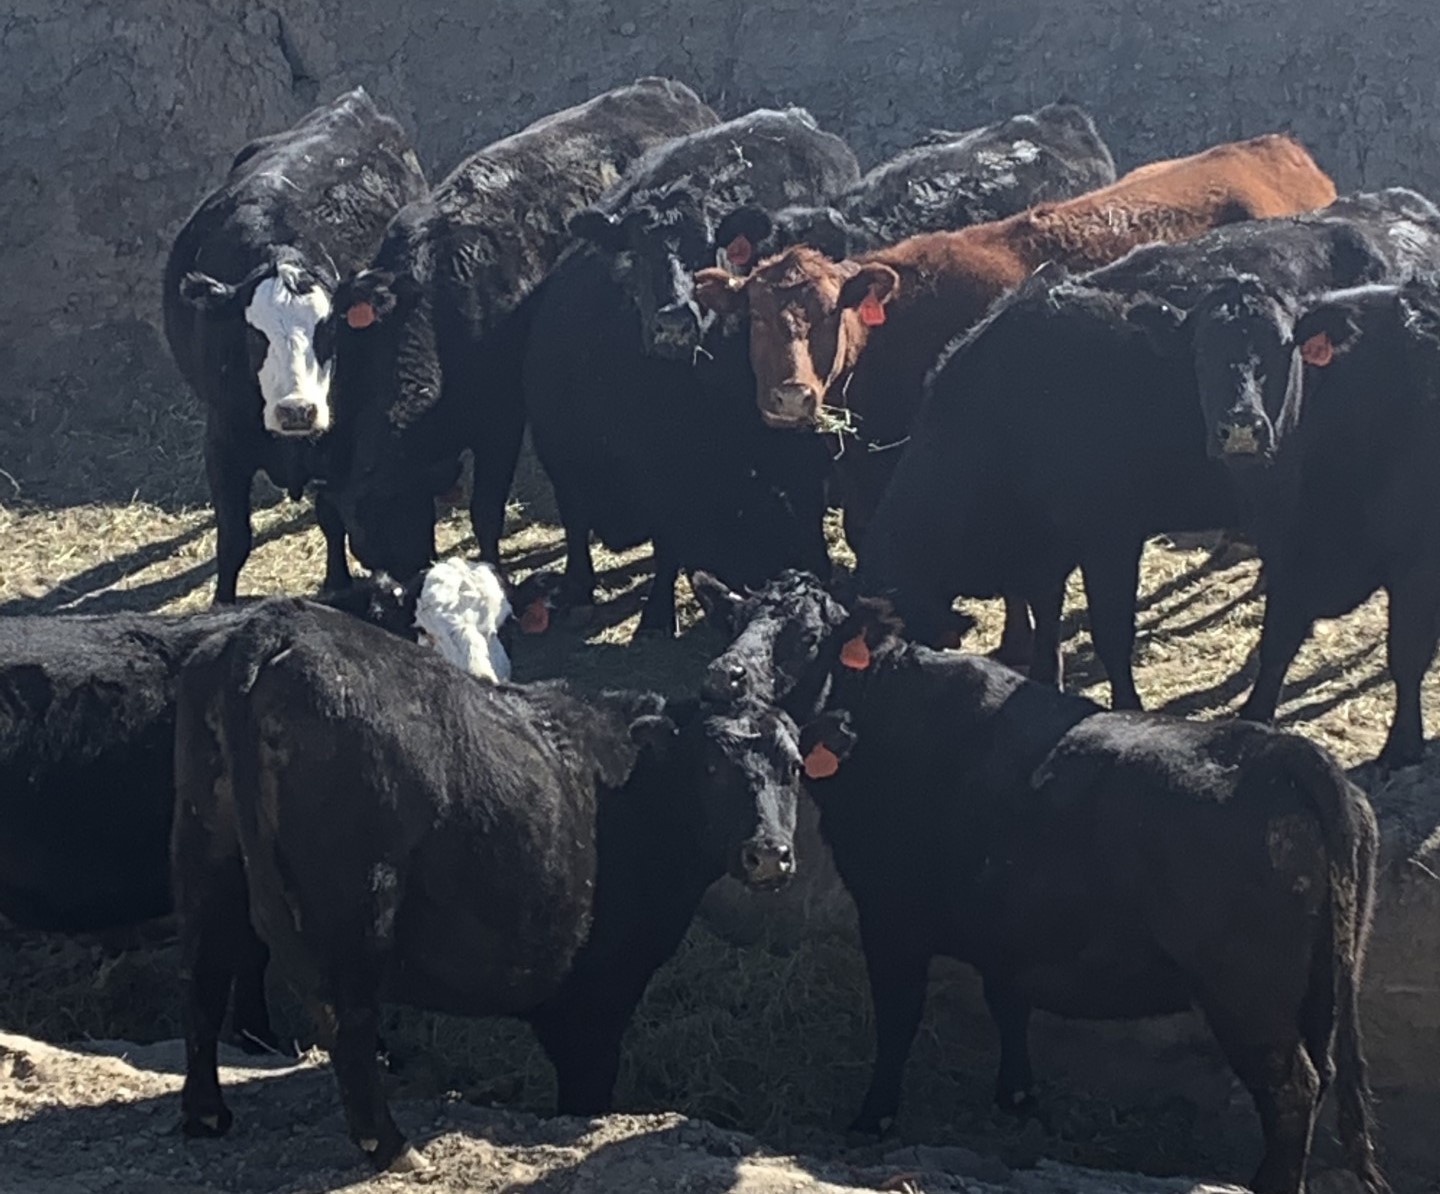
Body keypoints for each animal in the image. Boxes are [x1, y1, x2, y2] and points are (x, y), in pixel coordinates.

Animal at [163, 88, 428, 602]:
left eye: (329, 330)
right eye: (252, 334)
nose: (296, 411)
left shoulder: (340, 436)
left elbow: (331, 517)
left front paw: (336, 583)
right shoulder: (221, 438)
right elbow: (233, 538)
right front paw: (223, 604)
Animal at [172, 600, 819, 1171]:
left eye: (793, 768)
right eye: (710, 769)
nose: (769, 854)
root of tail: (277, 625)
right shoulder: (595, 998)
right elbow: (584, 1095)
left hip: (209, 863)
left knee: (205, 978)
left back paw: (205, 1114)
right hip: (356, 904)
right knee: (345, 1015)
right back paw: (392, 1147)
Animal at [326, 79, 717, 581]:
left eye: (400, 511)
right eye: (363, 538)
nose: (401, 579)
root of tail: (667, 90)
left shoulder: (502, 418)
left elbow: (486, 509)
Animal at [526, 108, 858, 633]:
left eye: (707, 251)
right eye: (635, 253)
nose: (675, 321)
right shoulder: (579, 453)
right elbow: (591, 526)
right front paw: (592, 595)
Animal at [691, 569, 1388, 1194]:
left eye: (808, 637)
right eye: (734, 620)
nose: (724, 675)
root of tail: (1284, 753)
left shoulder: (891, 917)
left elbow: (898, 1018)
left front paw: (871, 1119)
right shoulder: (1007, 926)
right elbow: (1008, 1001)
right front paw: (1018, 1096)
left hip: (1245, 993)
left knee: (1292, 1089)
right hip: (1320, 986)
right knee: (1322, 1076)